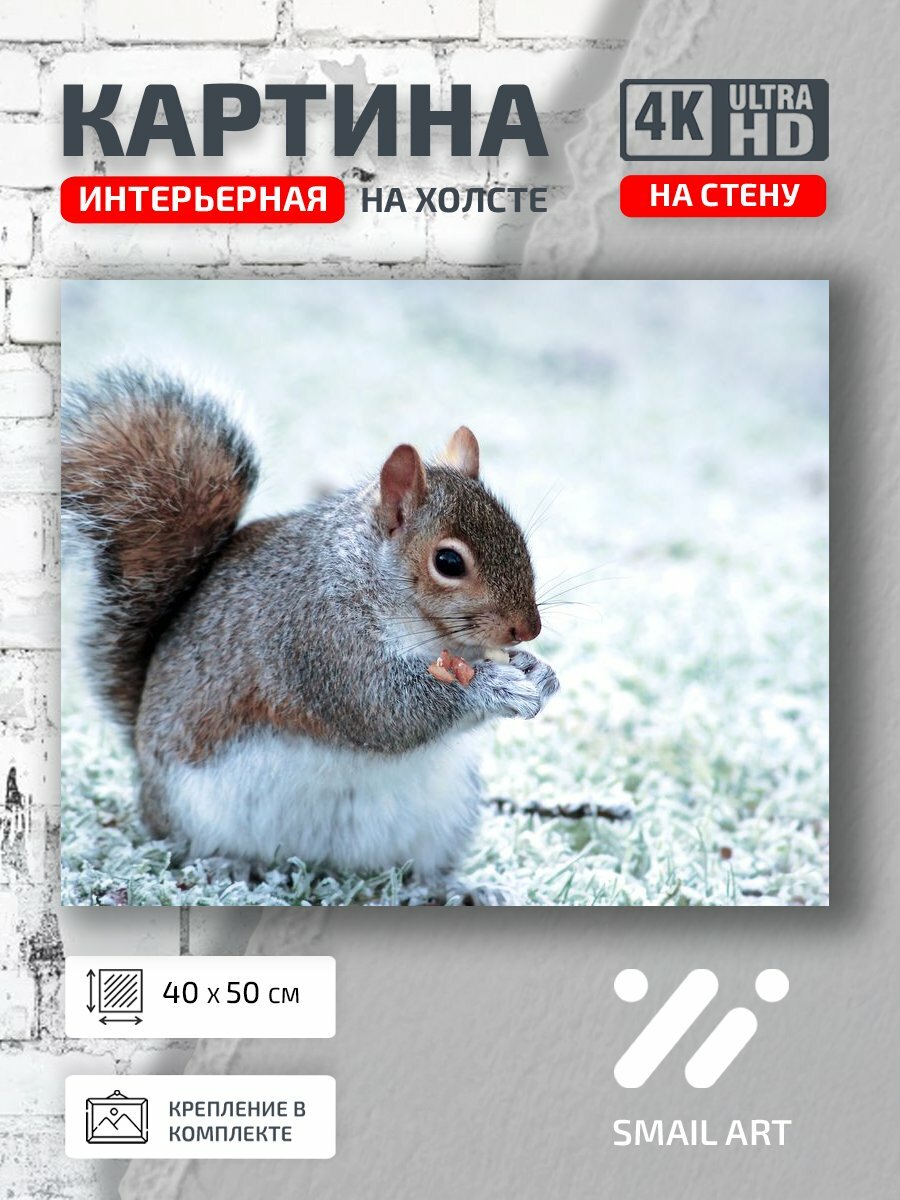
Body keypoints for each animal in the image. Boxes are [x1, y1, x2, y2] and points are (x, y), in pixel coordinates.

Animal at [62, 366, 559, 905]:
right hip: (193, 807)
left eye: (520, 538)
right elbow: (385, 709)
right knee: (185, 844)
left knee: (418, 868)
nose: (528, 629)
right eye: (448, 561)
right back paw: (225, 864)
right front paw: (494, 687)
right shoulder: (317, 637)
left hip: (447, 812)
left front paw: (537, 672)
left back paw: (454, 888)